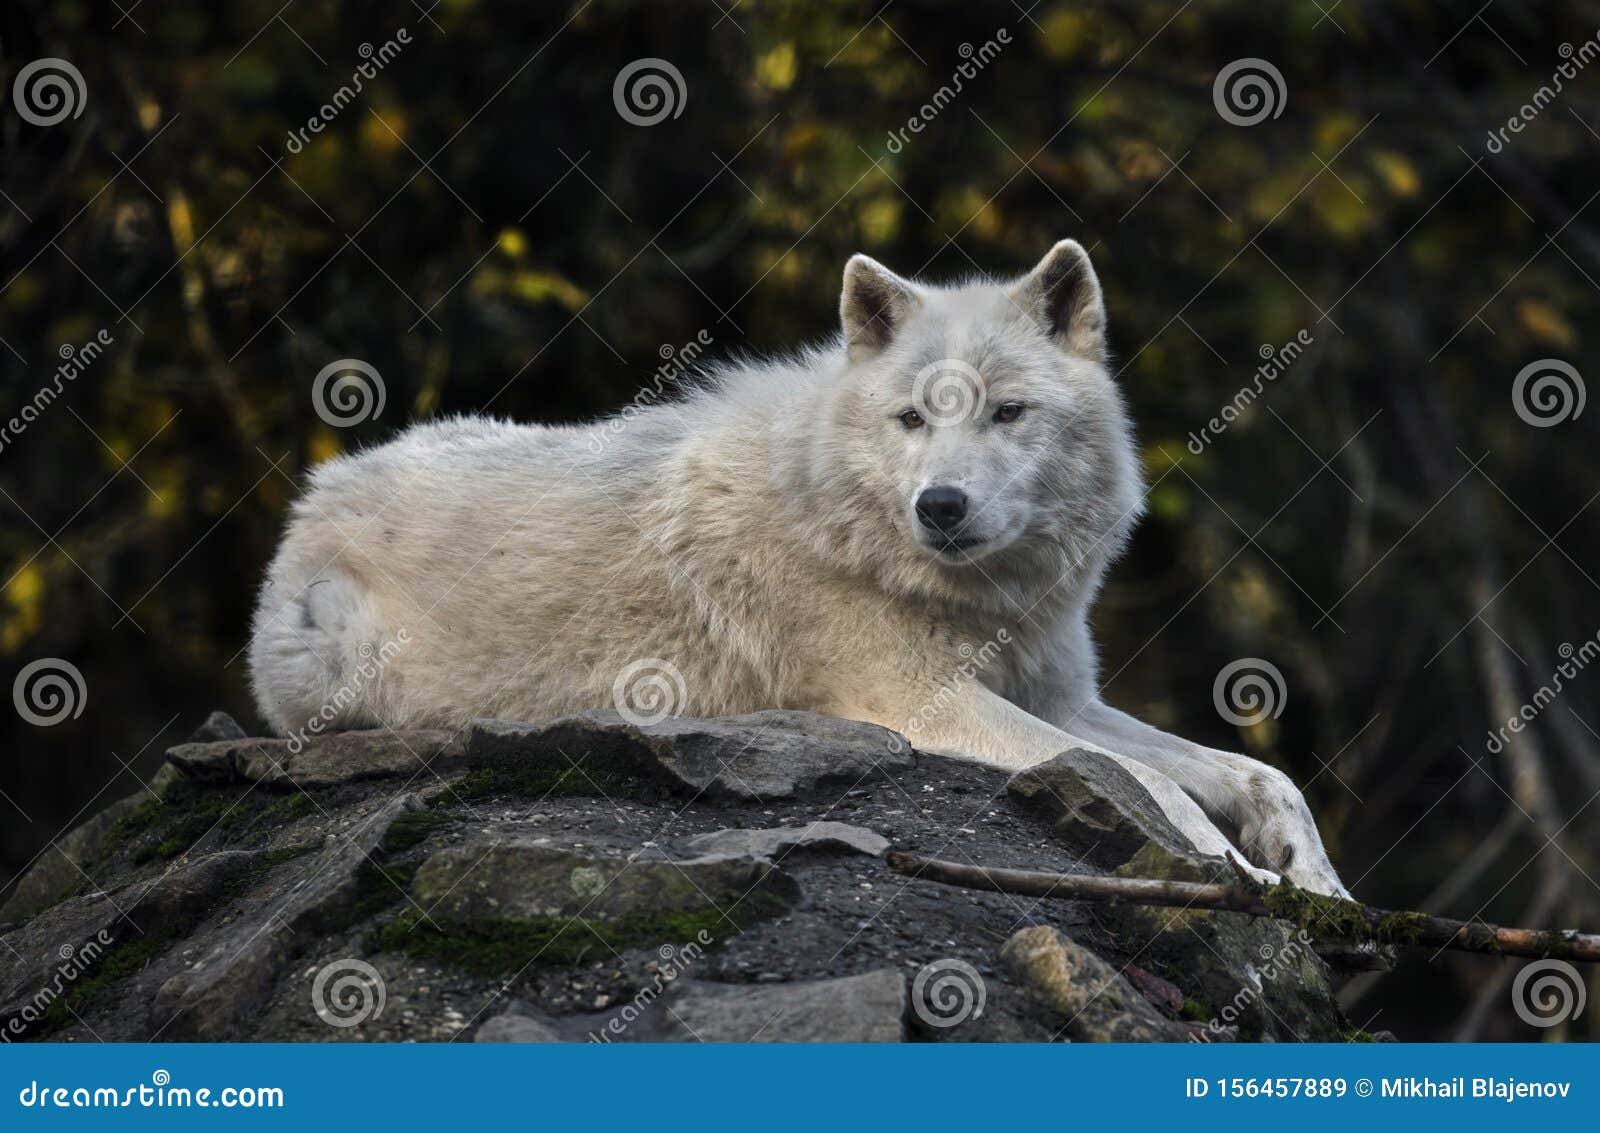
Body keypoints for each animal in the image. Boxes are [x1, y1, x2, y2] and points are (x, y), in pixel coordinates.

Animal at [249, 240, 1349, 896]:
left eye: (1007, 411)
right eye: (911, 418)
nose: (939, 506)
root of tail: (316, 492)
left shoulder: (1061, 698)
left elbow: (1261, 772)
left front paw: (1317, 882)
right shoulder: (926, 703)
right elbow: (1142, 780)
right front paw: (1230, 873)